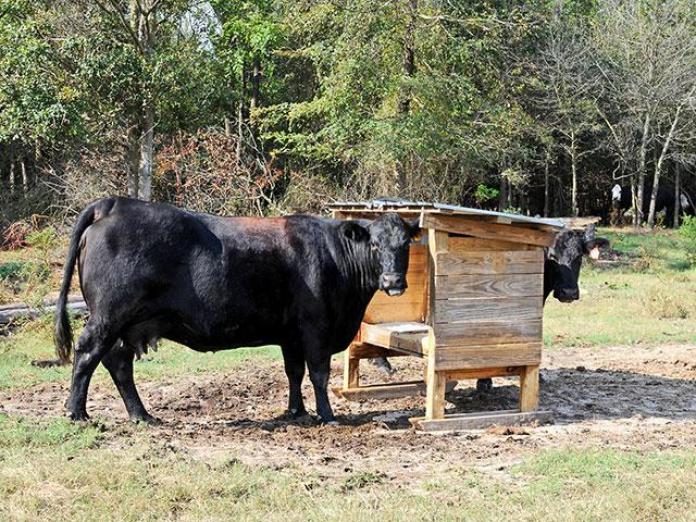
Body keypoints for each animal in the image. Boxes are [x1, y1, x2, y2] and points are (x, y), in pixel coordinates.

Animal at [54, 197, 420, 425]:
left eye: (404, 245)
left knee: (118, 362)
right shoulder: (316, 328)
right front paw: (327, 414)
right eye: (375, 244)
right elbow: (318, 373)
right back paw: (76, 412)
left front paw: (295, 411)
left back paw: (141, 414)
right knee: (88, 353)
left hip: (130, 324)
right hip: (109, 316)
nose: (393, 280)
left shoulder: (290, 334)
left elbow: (294, 372)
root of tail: (115, 203)